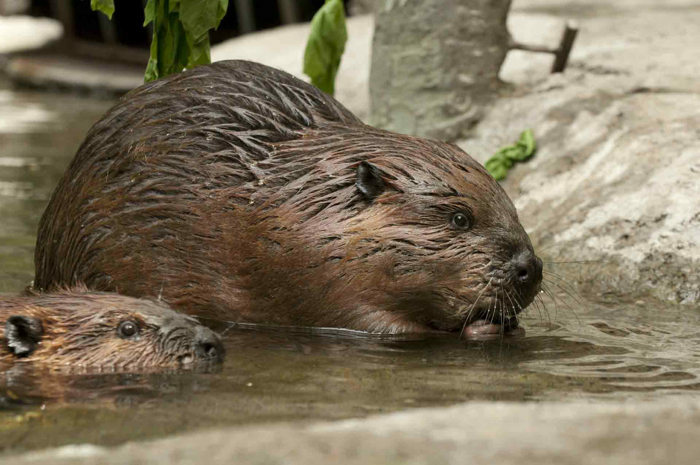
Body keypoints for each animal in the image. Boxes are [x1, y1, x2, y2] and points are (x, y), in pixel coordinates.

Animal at [35, 59, 544, 336]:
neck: (304, 199)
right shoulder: (312, 277)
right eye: (459, 218)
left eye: (513, 208)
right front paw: (481, 328)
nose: (530, 268)